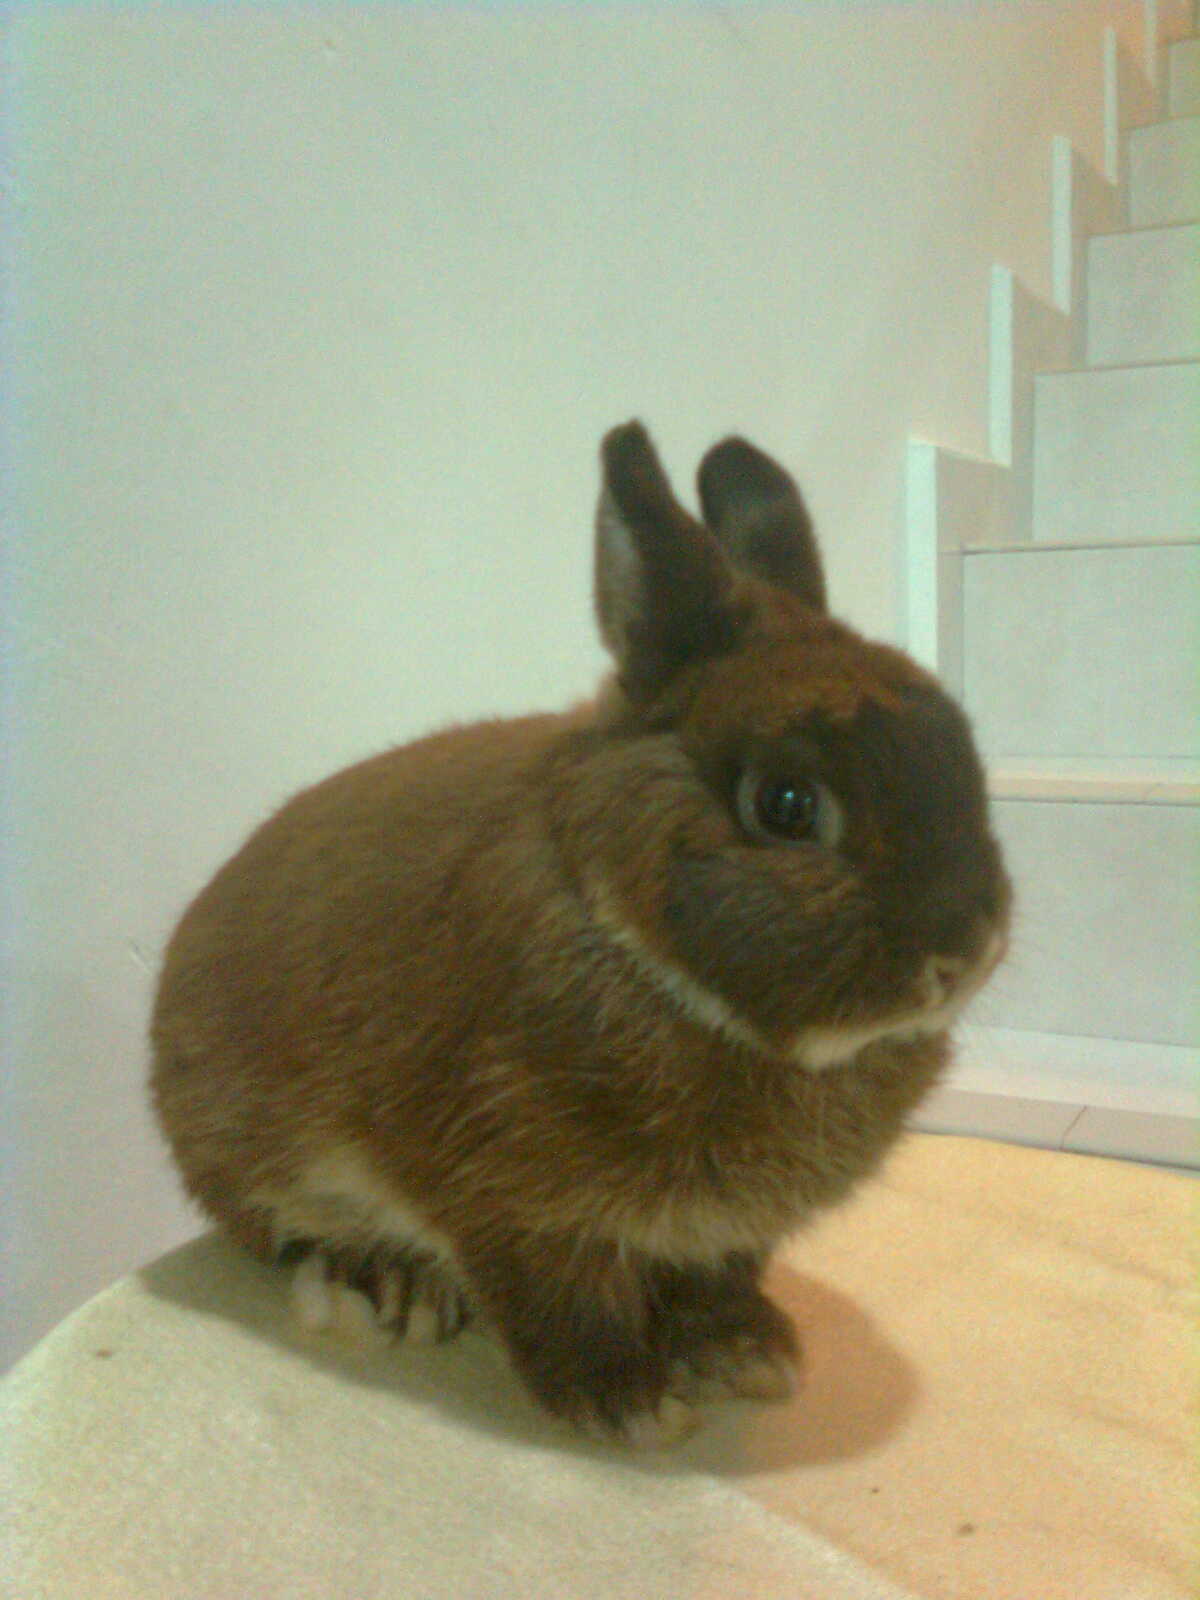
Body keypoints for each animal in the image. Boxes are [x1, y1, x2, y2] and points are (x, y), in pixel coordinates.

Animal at [150, 420, 1010, 1447]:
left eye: (962, 750)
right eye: (786, 804)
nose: (965, 955)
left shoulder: (719, 1236)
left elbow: (714, 1285)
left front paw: (749, 1353)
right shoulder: (521, 1207)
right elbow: (564, 1308)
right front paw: (631, 1404)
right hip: (243, 1147)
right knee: (282, 1232)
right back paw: (398, 1285)